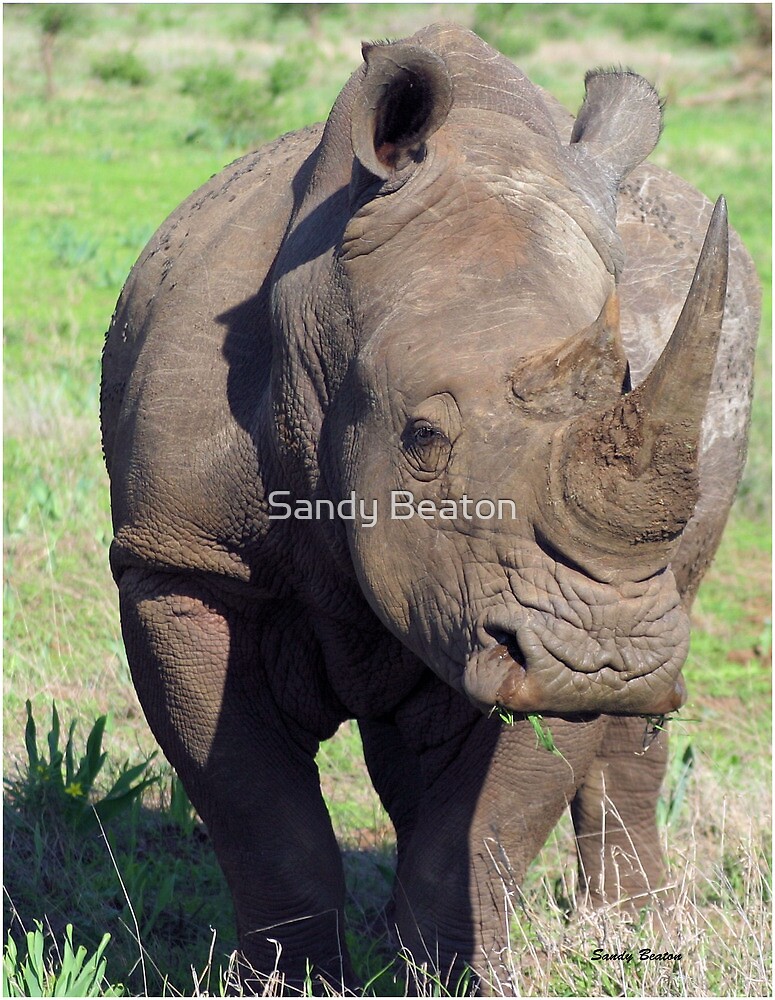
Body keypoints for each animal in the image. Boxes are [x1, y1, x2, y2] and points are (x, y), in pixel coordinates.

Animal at [101, 23, 759, 994]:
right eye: (420, 437)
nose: (602, 659)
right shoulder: (181, 561)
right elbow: (260, 816)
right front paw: (297, 983)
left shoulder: (547, 617)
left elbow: (483, 832)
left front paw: (455, 979)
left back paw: (638, 932)